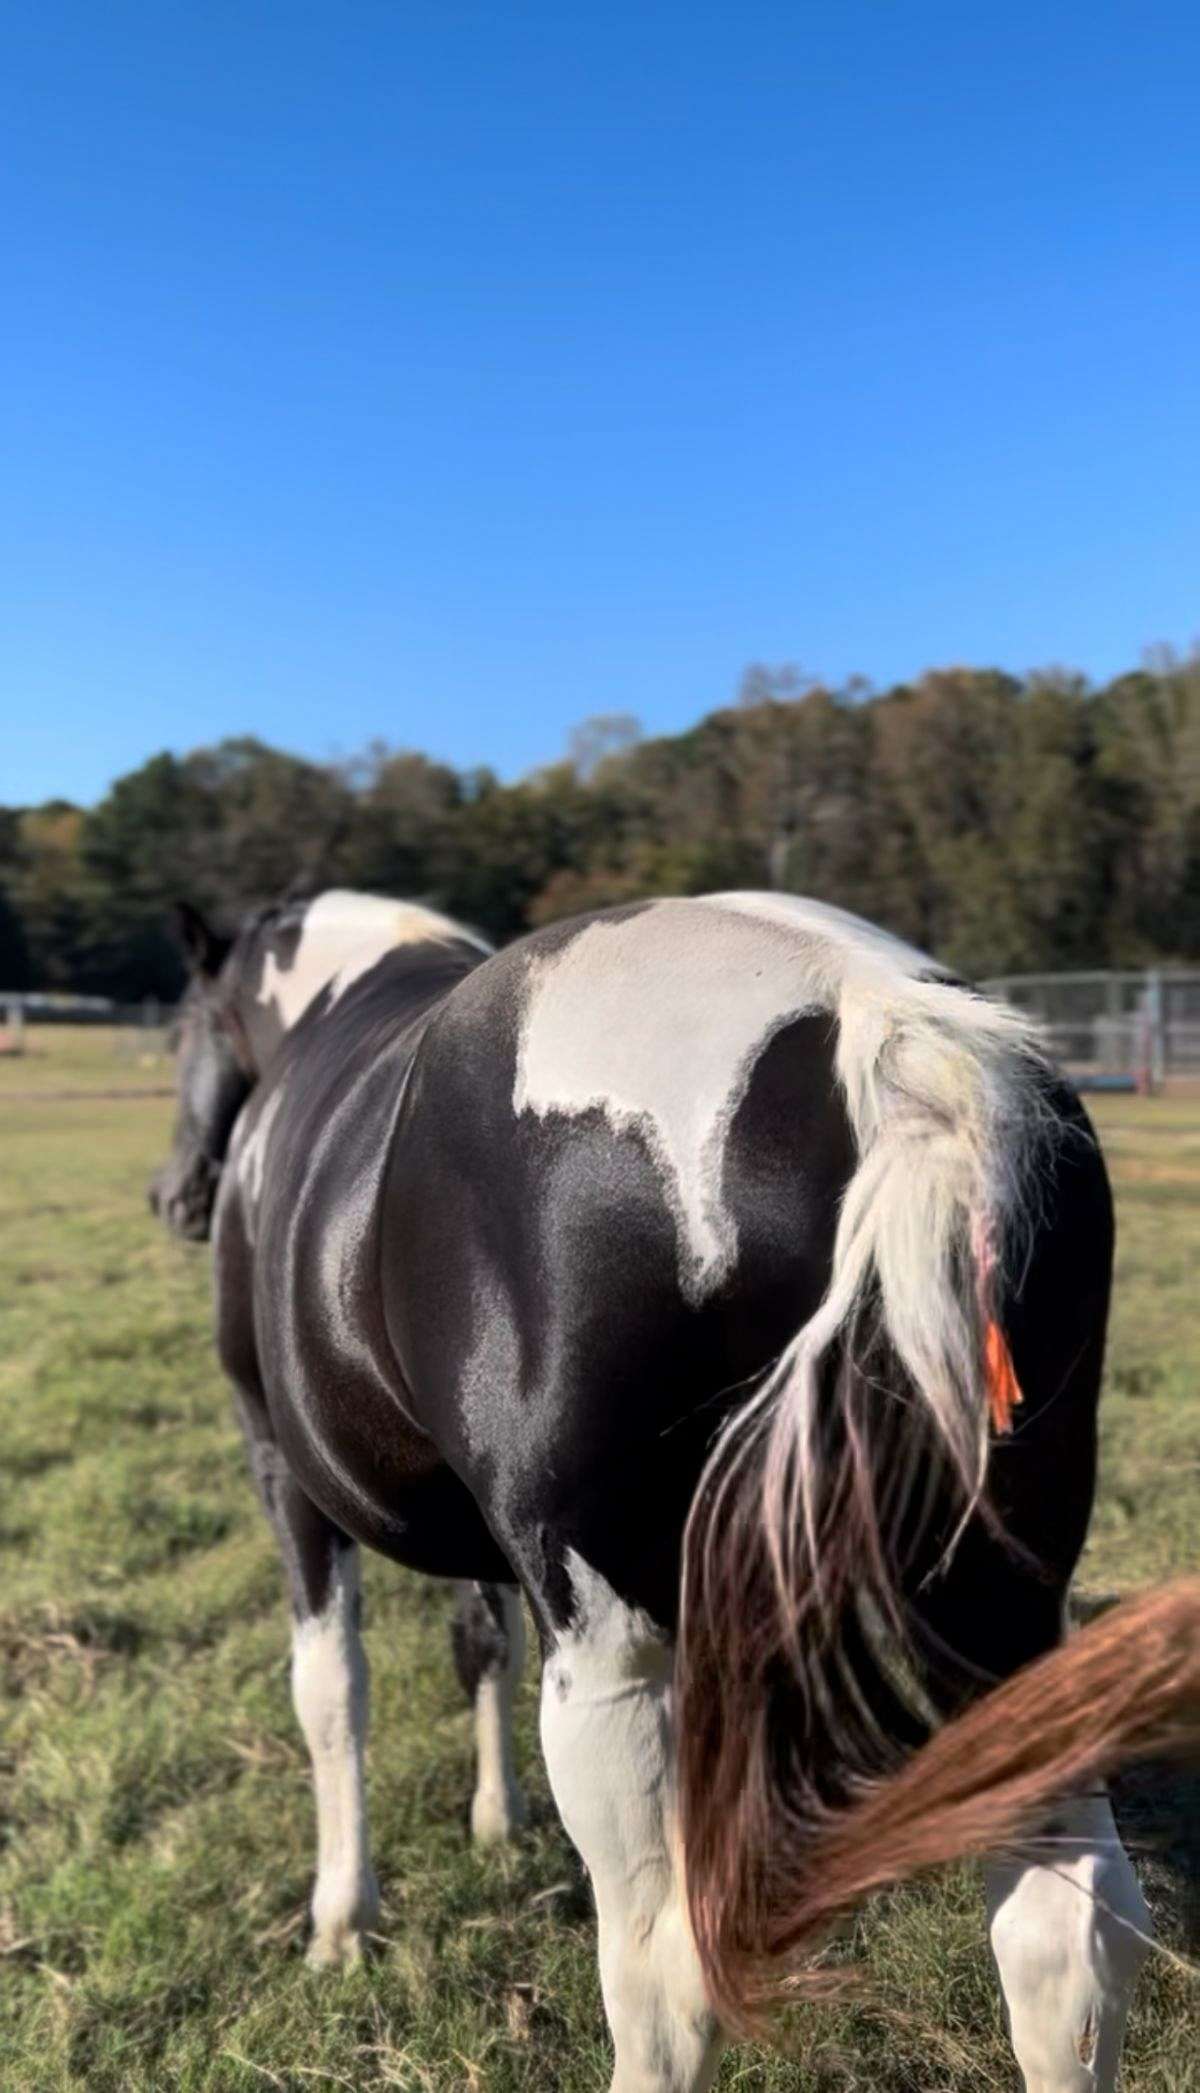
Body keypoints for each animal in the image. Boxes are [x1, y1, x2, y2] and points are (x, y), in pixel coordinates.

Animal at [150, 884, 1199, 2093]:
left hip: (615, 1656)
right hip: (998, 1604)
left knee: (666, 1978)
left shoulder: (287, 1475)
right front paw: (496, 1818)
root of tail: (877, 1031)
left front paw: (341, 1920)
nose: (173, 1195)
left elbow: (331, 1690)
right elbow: (480, 1643)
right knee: (1064, 1938)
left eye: (185, 1024)